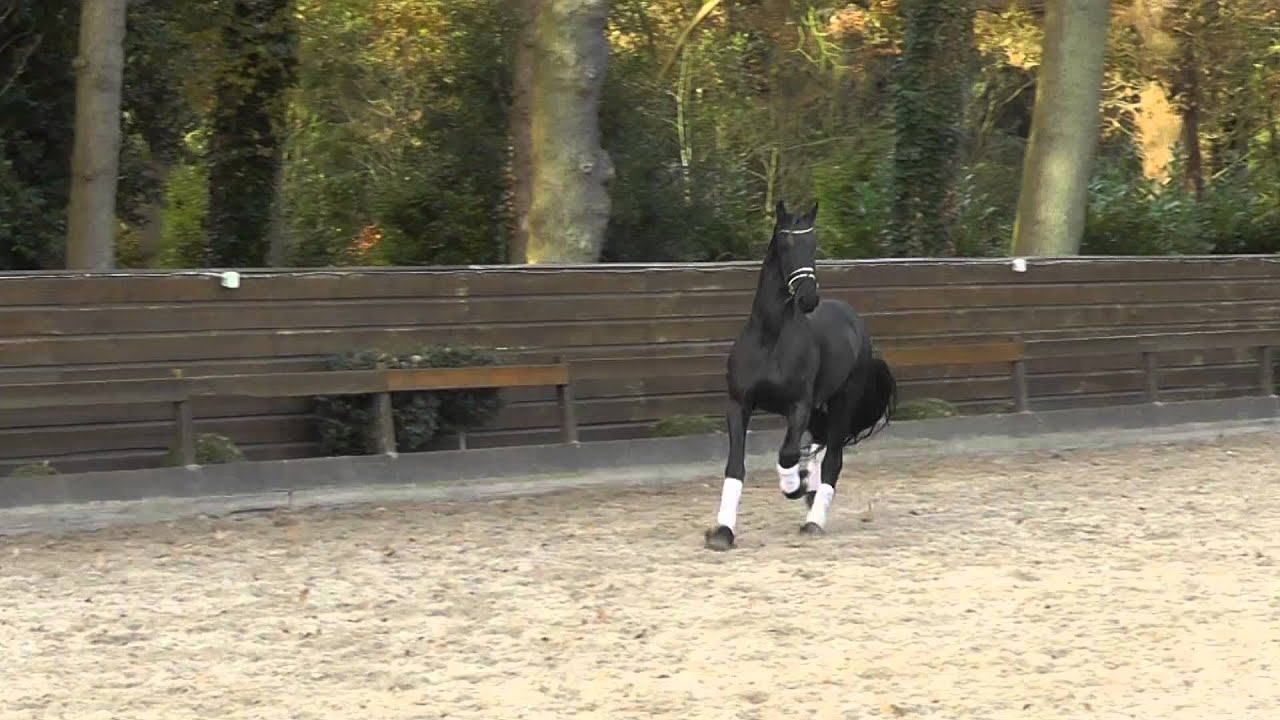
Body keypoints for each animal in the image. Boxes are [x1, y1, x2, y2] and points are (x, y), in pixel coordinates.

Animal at [703, 200, 897, 551]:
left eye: (813, 244)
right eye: (785, 243)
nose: (809, 298)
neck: (770, 338)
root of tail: (852, 318)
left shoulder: (798, 406)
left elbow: (788, 454)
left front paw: (797, 485)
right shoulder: (739, 405)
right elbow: (735, 466)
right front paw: (723, 532)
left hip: (842, 401)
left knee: (832, 458)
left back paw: (813, 519)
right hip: (820, 409)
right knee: (820, 446)